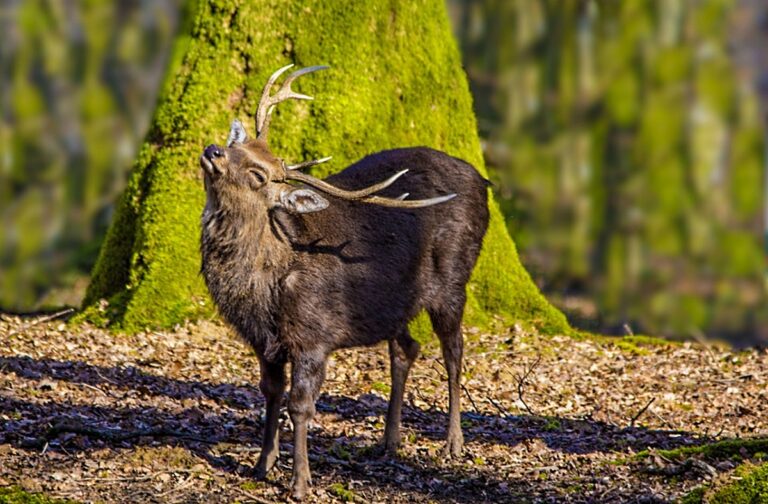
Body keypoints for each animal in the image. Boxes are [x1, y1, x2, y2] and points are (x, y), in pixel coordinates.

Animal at [199, 64, 490, 499]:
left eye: (258, 174)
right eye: (240, 144)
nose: (214, 149)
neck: (265, 287)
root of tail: (484, 182)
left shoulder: (314, 336)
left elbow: (300, 405)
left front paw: (300, 482)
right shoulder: (263, 341)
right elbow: (270, 392)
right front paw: (263, 464)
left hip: (454, 279)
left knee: (454, 350)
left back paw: (453, 442)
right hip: (395, 302)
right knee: (406, 347)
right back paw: (389, 440)